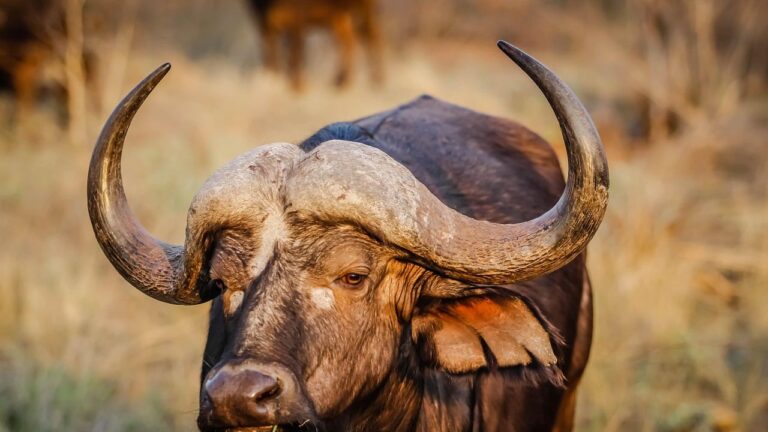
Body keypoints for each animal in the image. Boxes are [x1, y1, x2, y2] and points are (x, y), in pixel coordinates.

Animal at [245, 0, 383, 90]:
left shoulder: (296, 21)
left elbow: (295, 57)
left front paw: (299, 88)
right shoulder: (264, 25)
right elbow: (270, 58)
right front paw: (272, 81)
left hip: (362, 11)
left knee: (372, 36)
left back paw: (377, 81)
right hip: (339, 17)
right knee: (349, 41)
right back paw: (340, 81)